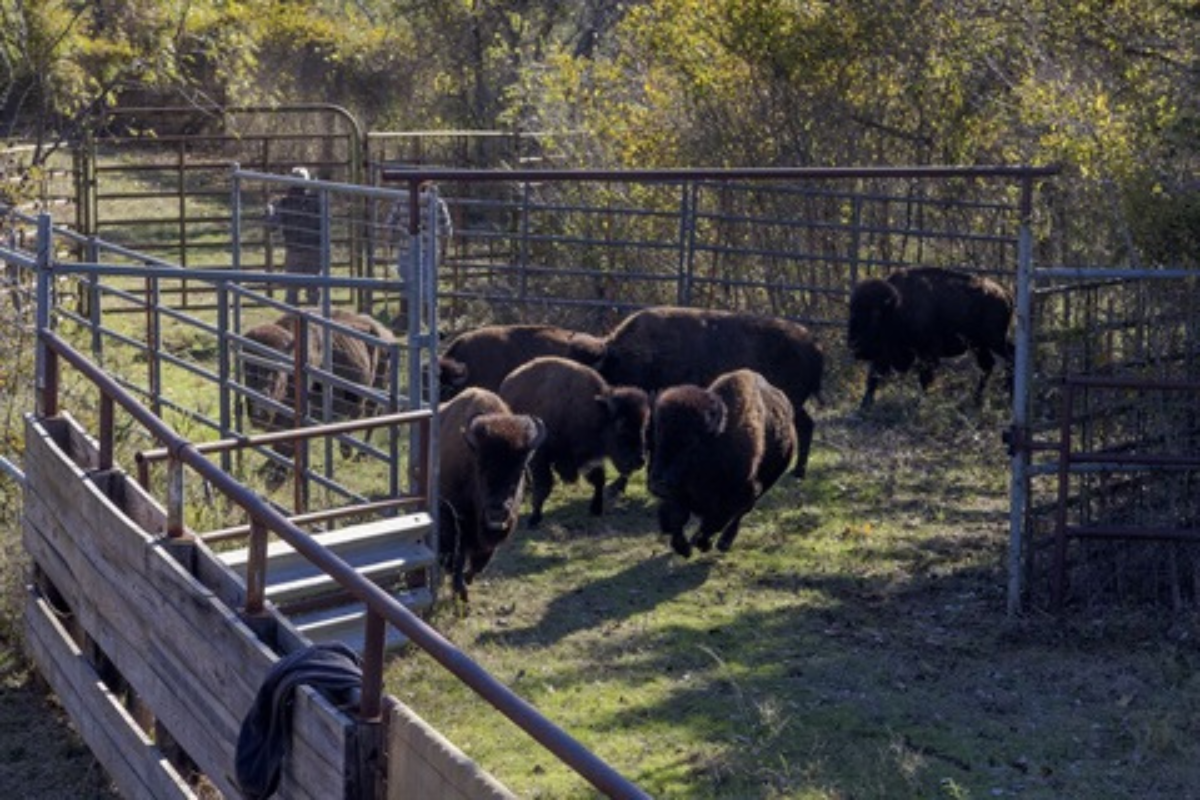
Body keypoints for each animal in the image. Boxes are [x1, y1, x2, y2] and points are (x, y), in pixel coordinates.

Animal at [648, 369, 796, 558]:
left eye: (692, 443)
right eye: (658, 436)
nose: (658, 483)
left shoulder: (739, 493)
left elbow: (717, 520)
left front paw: (702, 544)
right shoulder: (679, 494)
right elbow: (678, 518)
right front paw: (684, 548)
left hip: (764, 483)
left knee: (740, 513)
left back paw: (723, 543)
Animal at [847, 267, 1014, 409]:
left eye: (875, 315)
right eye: (852, 311)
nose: (854, 345)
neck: (898, 307)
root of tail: (1004, 293)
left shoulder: (927, 353)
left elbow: (924, 378)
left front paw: (919, 402)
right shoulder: (884, 354)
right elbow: (873, 378)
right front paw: (863, 406)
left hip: (994, 341)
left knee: (1009, 357)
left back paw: (1007, 394)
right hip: (979, 345)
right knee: (987, 365)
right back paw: (977, 400)